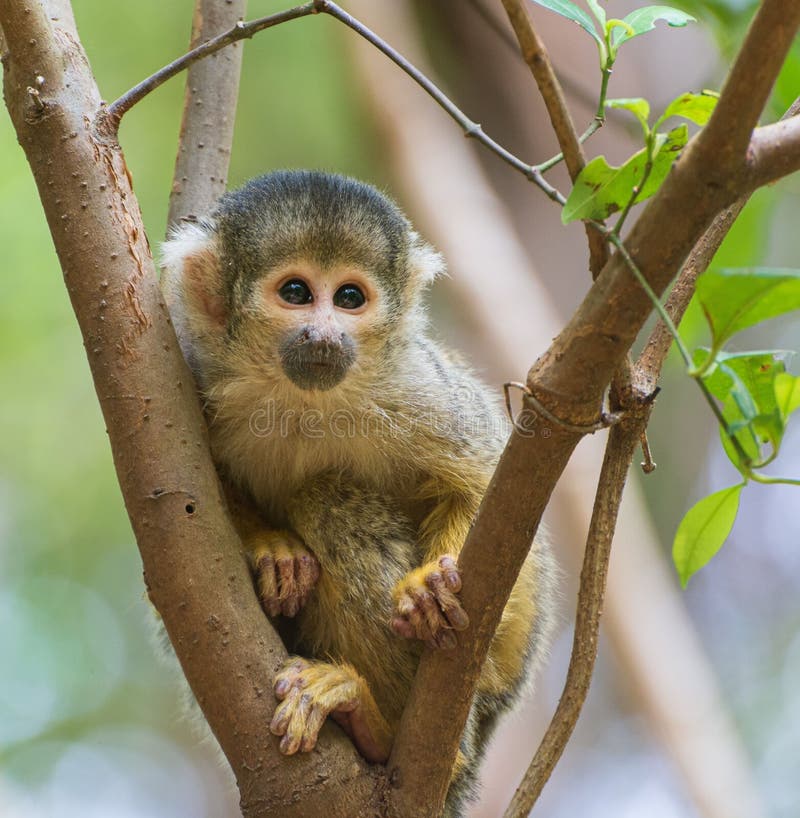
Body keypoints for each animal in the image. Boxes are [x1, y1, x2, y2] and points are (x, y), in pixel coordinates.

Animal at [161, 170, 557, 817]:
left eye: (349, 298)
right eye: (297, 292)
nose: (325, 335)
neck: (302, 400)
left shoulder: (414, 385)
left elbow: (493, 486)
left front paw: (430, 585)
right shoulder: (191, 373)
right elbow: (193, 488)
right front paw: (271, 548)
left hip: (498, 673)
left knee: (324, 497)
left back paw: (385, 728)